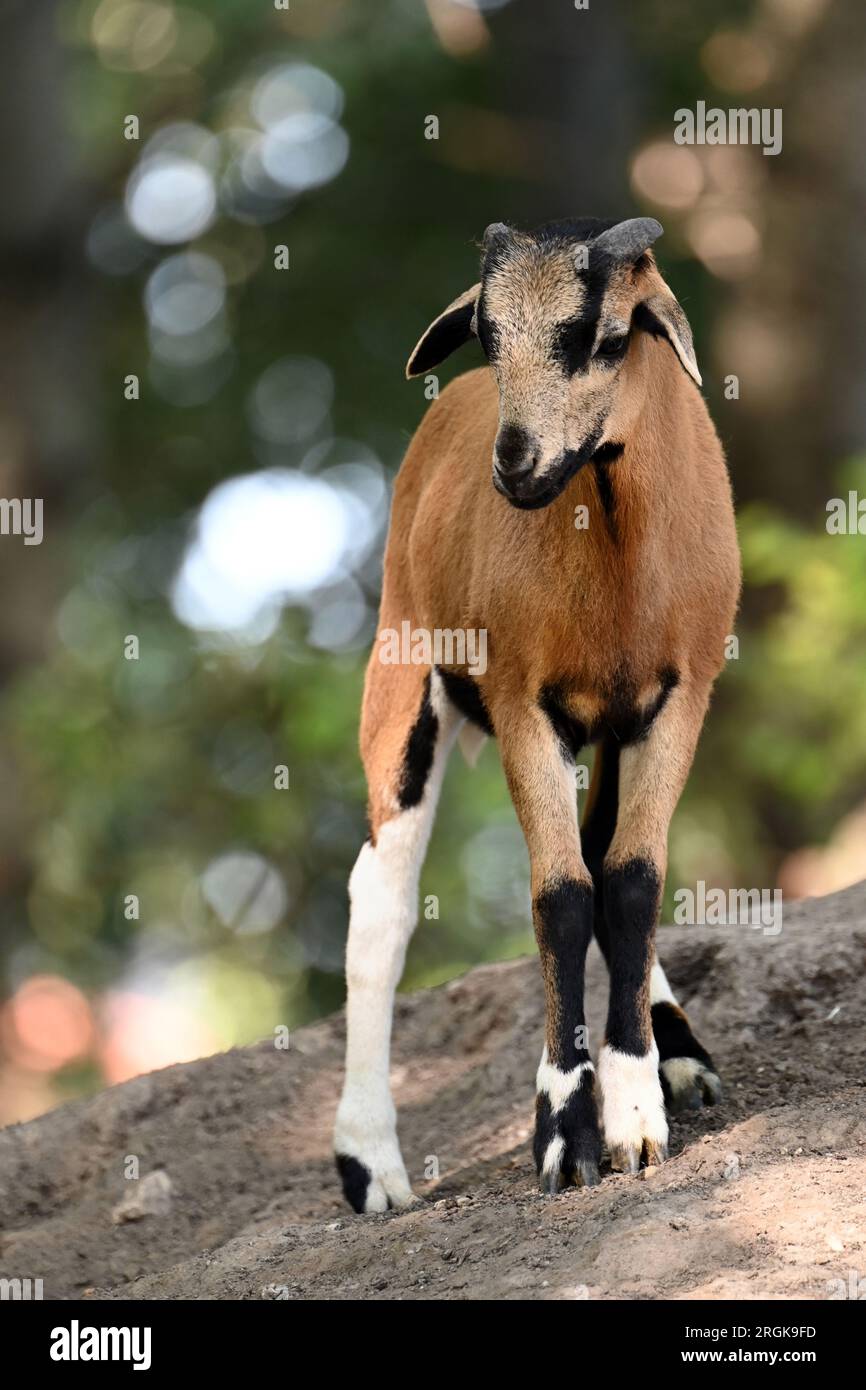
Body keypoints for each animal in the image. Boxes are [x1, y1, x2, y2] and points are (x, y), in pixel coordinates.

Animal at [334, 216, 741, 1212]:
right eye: (488, 337)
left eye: (606, 339)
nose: (514, 463)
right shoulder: (527, 706)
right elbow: (561, 897)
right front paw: (567, 1132)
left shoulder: (676, 701)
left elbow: (630, 881)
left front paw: (636, 1109)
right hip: (403, 682)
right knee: (381, 902)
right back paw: (372, 1168)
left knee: (604, 855)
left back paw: (675, 1051)